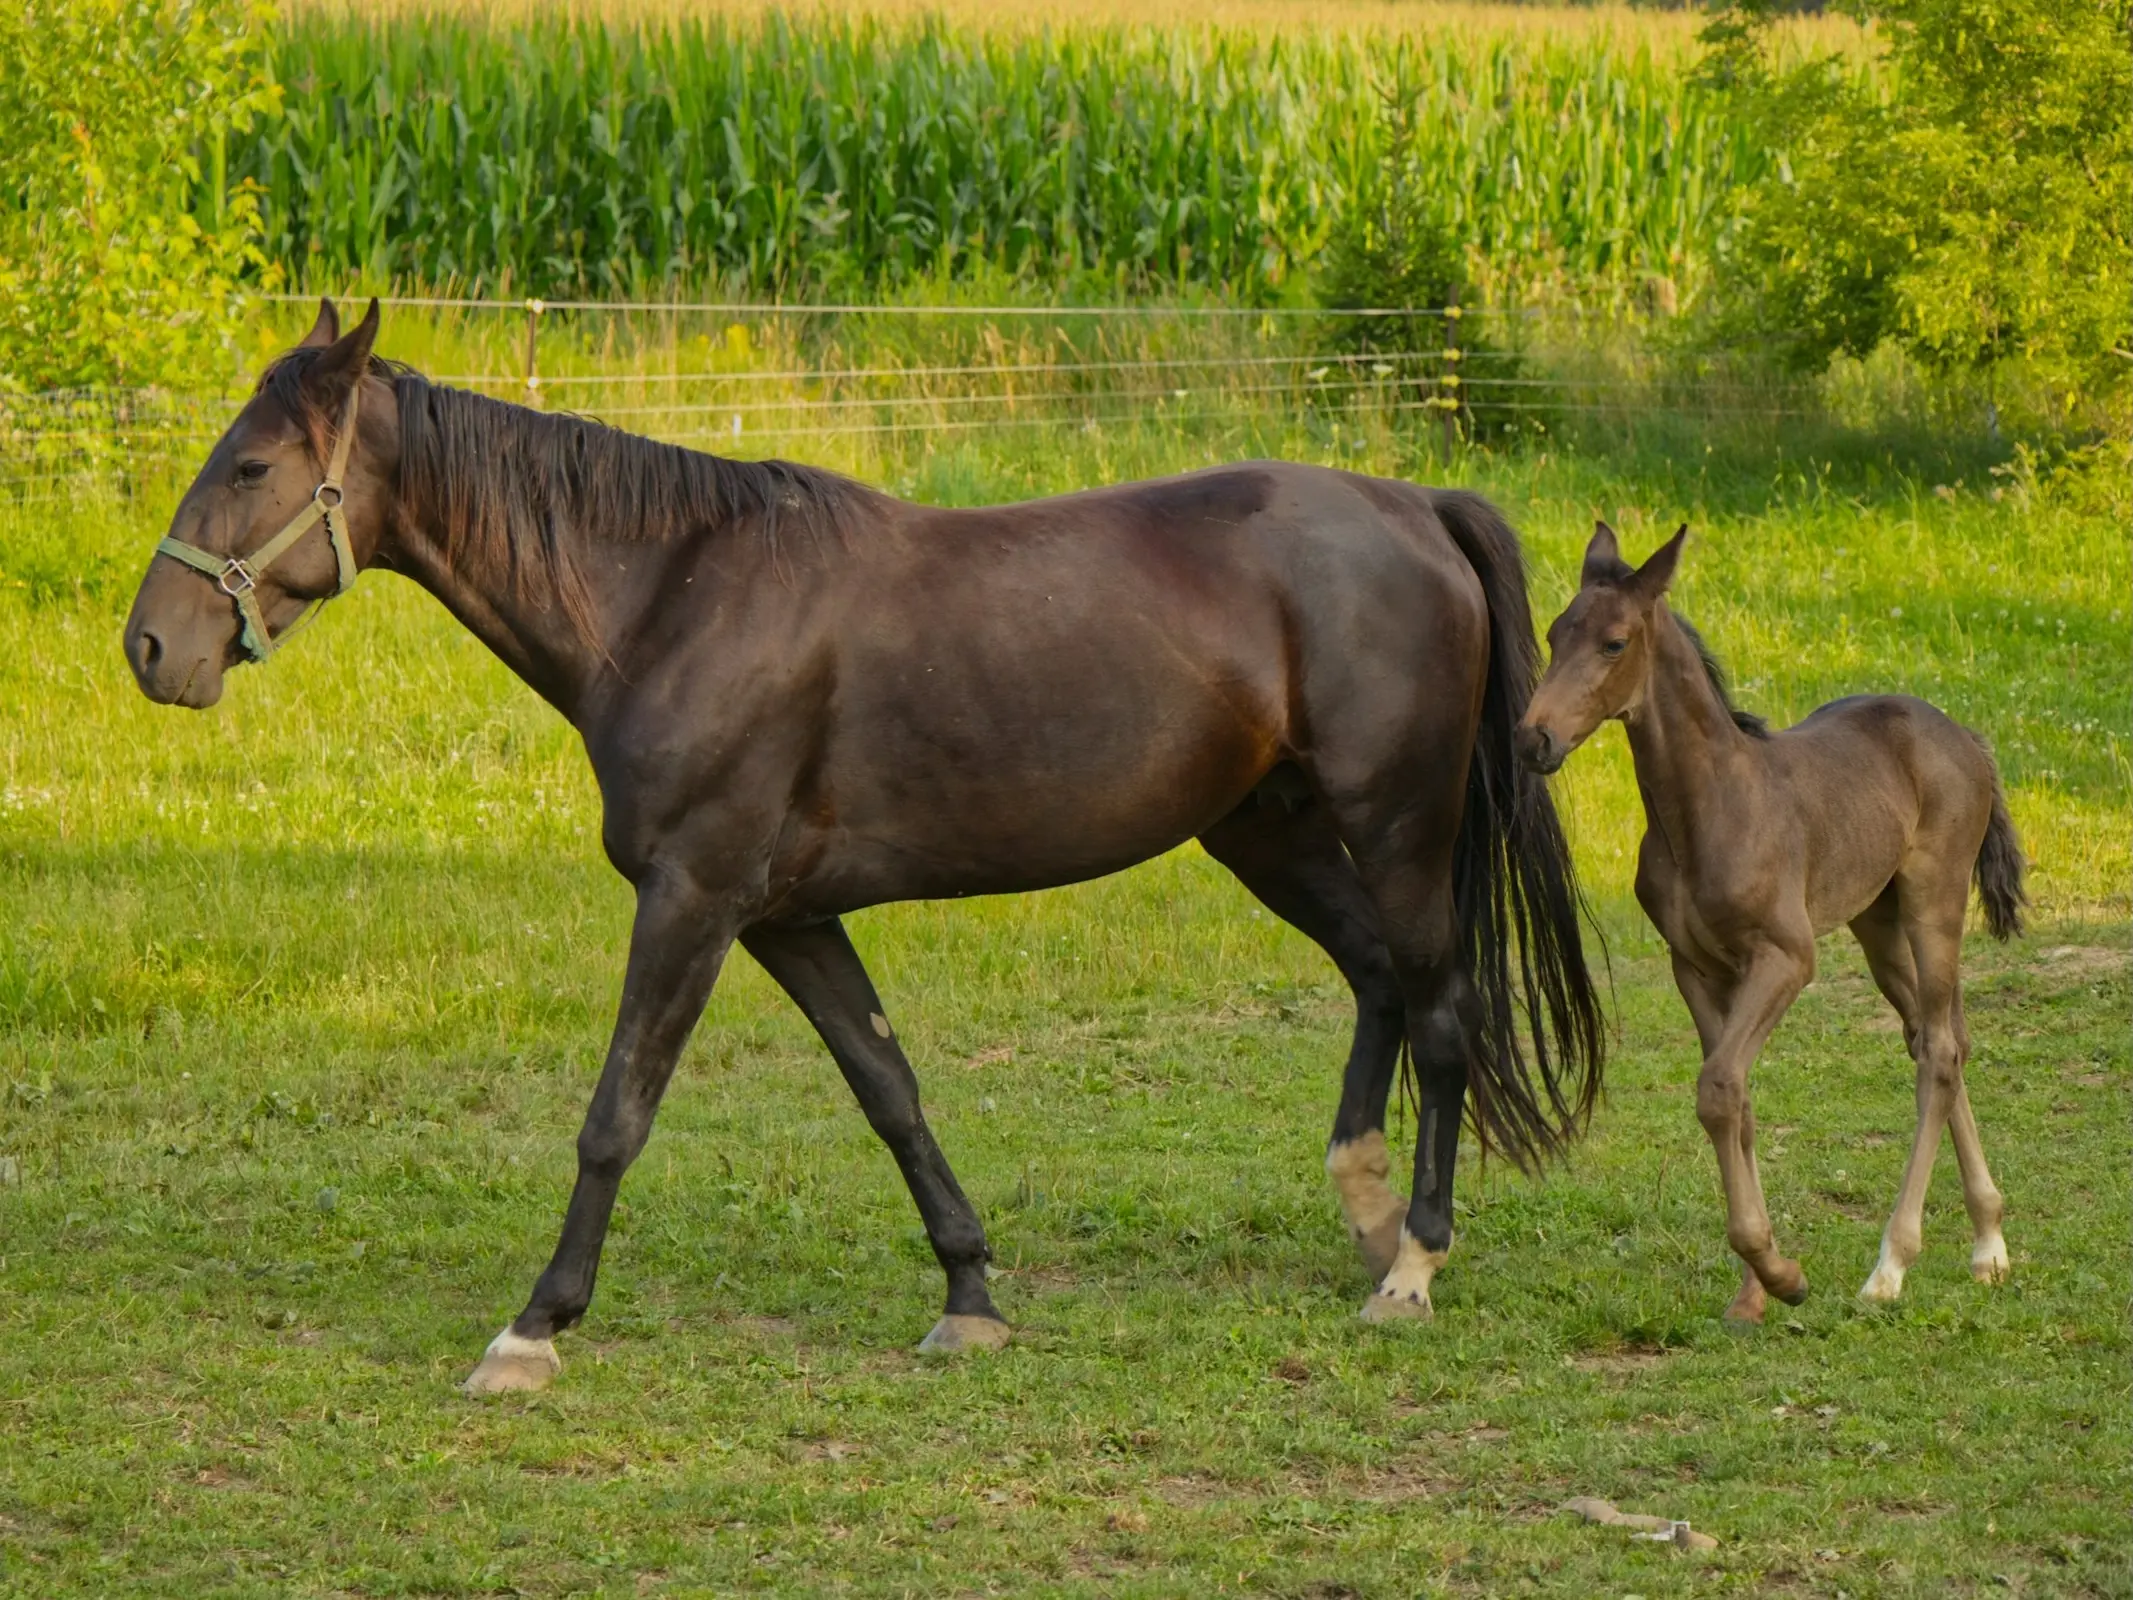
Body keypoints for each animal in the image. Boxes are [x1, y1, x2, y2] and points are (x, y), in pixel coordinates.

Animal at [123, 298, 1604, 1393]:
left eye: (251, 467)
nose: (151, 648)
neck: (670, 598)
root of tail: (1414, 506)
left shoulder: (694, 899)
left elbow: (616, 1114)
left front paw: (533, 1327)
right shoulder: (785, 917)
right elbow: (889, 1090)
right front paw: (971, 1293)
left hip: (1394, 825)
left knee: (1444, 1013)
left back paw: (1412, 1267)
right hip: (1268, 830)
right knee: (1377, 979)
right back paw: (1366, 1217)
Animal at [1515, 522, 2023, 1321]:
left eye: (1614, 643)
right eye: (1554, 632)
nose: (1532, 740)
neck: (1707, 809)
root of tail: (1967, 737)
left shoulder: (1785, 958)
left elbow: (1720, 1086)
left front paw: (1780, 1274)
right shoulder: (1694, 966)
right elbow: (1736, 1100)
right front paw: (1756, 1289)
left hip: (1932, 901)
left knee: (1940, 1050)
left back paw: (1892, 1265)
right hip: (1875, 924)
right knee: (1934, 1036)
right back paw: (1987, 1243)